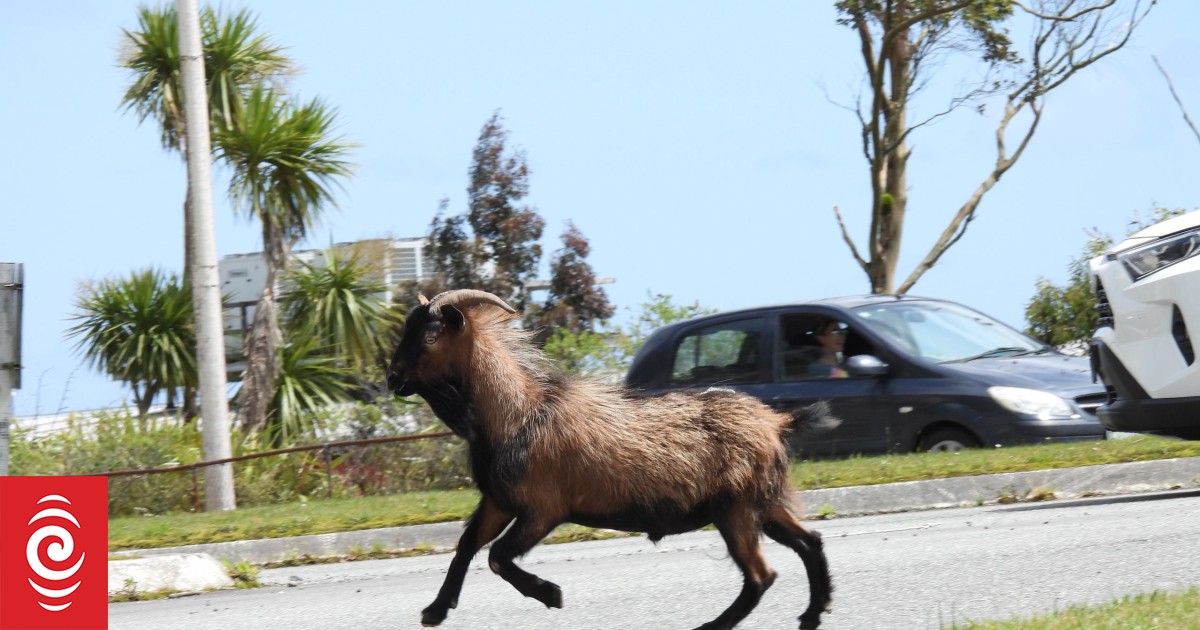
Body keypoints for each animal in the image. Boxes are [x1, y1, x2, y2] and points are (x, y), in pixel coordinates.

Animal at [386, 289, 836, 630]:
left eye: (429, 338)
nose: (393, 378)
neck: (516, 413)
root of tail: (777, 422)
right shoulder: (499, 500)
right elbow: (467, 545)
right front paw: (435, 611)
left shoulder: (542, 510)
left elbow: (498, 556)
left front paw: (551, 594)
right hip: (764, 503)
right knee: (809, 541)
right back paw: (813, 614)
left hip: (737, 509)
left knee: (761, 576)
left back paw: (713, 626)